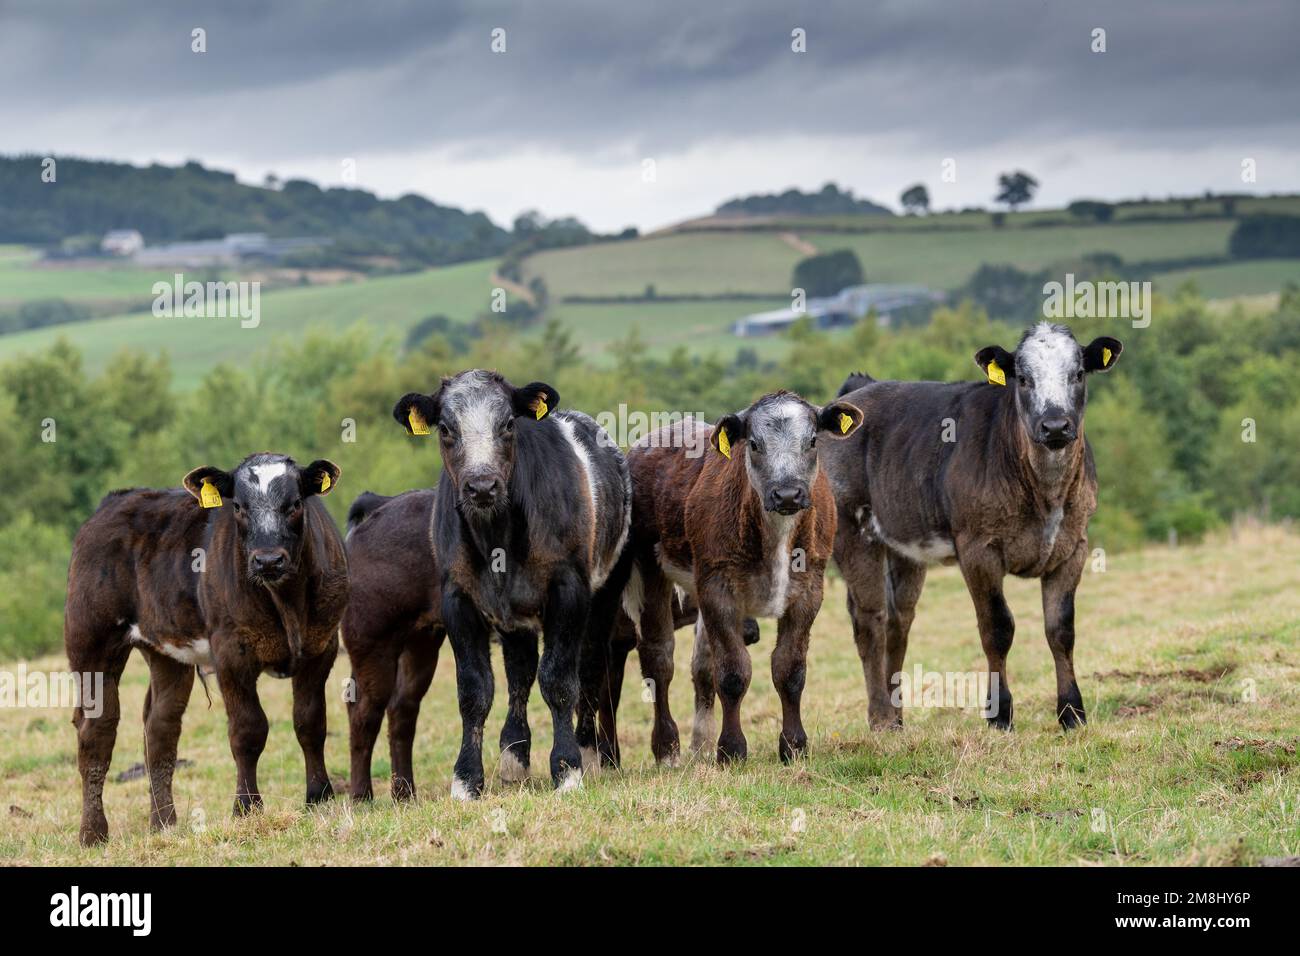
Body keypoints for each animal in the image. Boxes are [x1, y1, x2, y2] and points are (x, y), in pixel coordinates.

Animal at [64, 453, 348, 846]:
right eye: (239, 507)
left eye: (294, 504)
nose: (268, 560)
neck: (287, 601)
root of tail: (115, 502)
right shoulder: (231, 653)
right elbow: (248, 730)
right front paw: (246, 807)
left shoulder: (322, 647)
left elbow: (311, 723)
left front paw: (320, 797)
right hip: (92, 641)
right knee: (97, 731)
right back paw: (93, 833)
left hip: (166, 652)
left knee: (160, 728)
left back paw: (164, 822)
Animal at [391, 370, 632, 798]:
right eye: (446, 429)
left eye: (507, 424)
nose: (482, 486)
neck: (497, 536)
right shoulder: (457, 598)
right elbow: (474, 690)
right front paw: (466, 778)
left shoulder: (568, 590)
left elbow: (558, 680)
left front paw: (567, 768)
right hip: (514, 616)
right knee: (520, 673)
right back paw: (513, 757)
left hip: (604, 593)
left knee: (589, 667)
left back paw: (588, 753)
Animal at [624, 392, 864, 765]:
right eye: (753, 443)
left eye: (812, 441)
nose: (787, 494)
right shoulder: (718, 589)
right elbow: (734, 672)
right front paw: (732, 748)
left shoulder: (810, 589)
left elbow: (789, 670)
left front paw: (793, 745)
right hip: (648, 567)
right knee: (659, 658)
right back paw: (667, 748)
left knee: (701, 666)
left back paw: (700, 744)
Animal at [822, 322, 1122, 731]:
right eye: (1023, 378)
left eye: (1078, 374)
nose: (1055, 425)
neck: (1045, 494)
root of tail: (860, 389)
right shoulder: (978, 548)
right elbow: (997, 628)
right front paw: (999, 714)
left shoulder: (1073, 545)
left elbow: (1061, 629)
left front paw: (1072, 713)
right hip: (851, 531)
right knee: (870, 619)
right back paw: (881, 718)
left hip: (904, 546)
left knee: (898, 621)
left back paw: (897, 719)